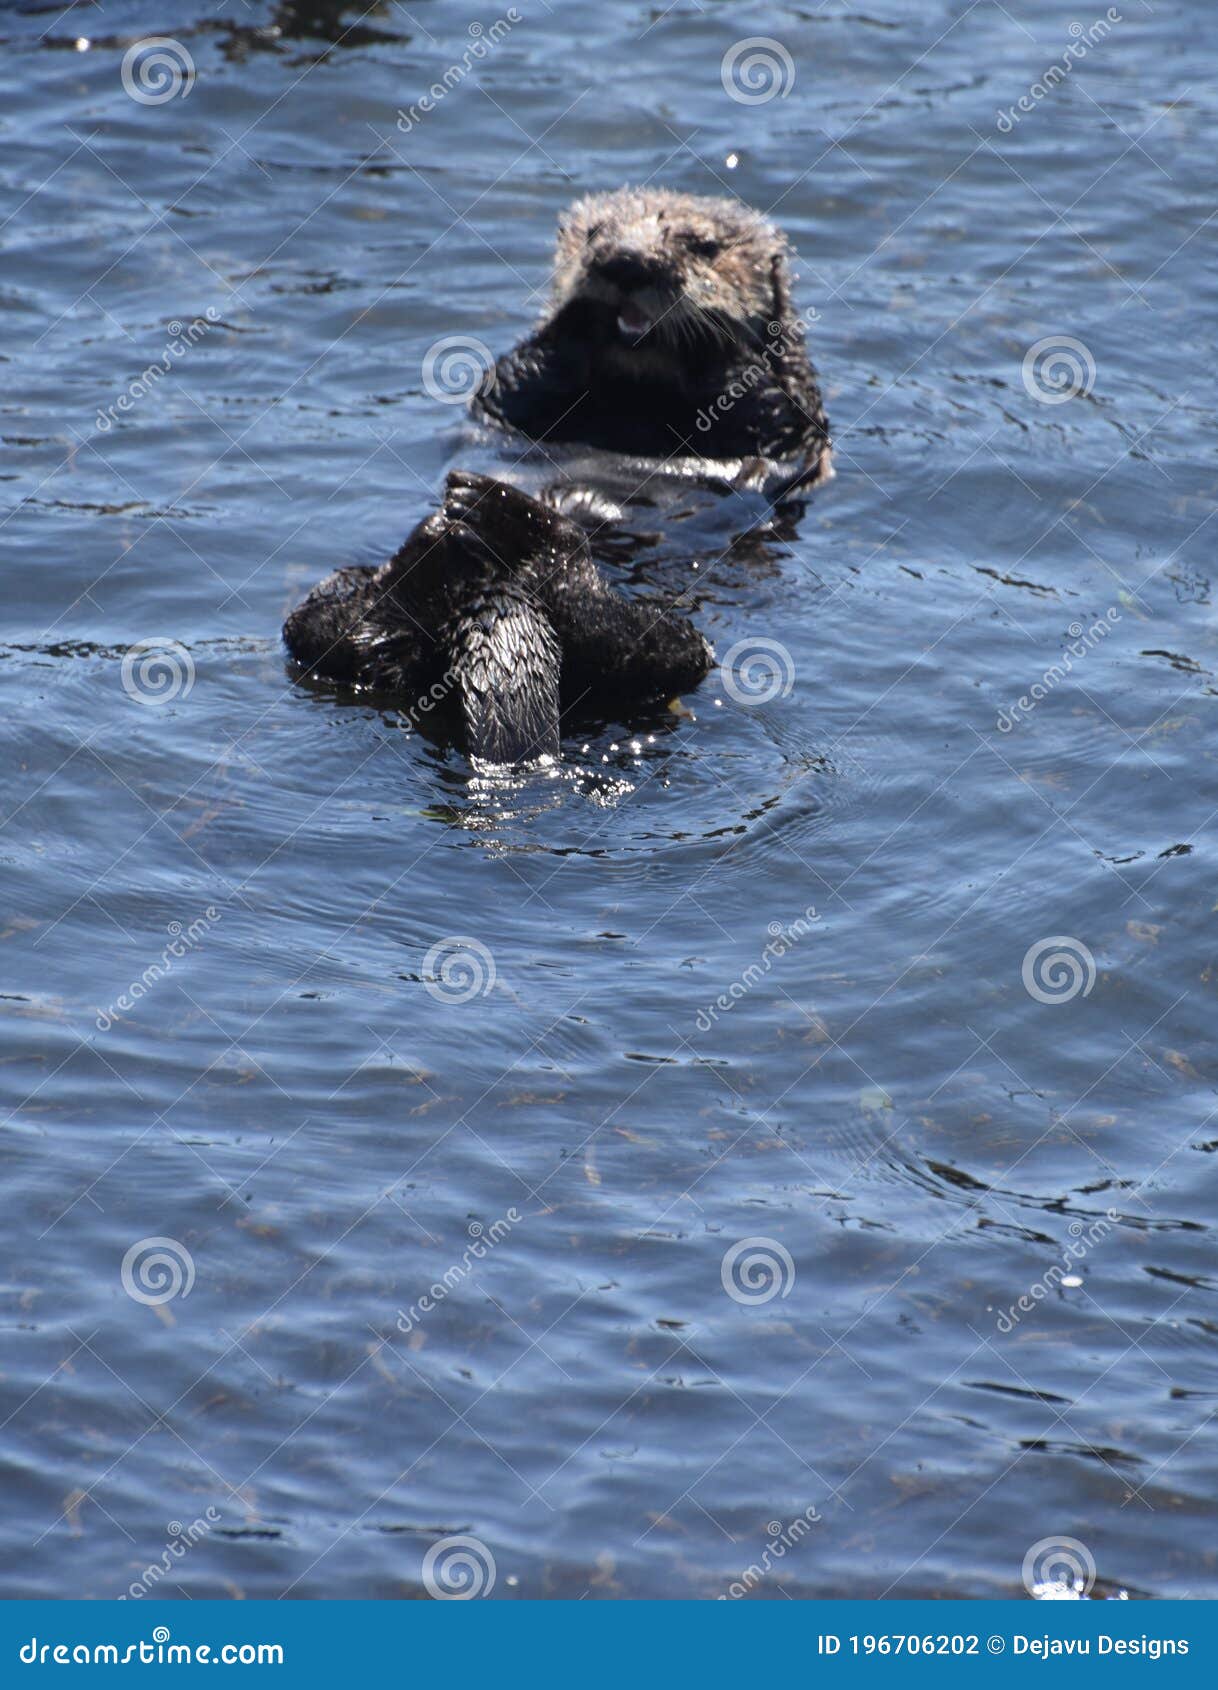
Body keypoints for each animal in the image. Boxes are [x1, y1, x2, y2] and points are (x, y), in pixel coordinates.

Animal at [472, 187, 831, 495]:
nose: (627, 261)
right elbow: (504, 388)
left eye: (705, 246)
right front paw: (582, 314)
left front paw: (707, 337)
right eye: (593, 232)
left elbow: (771, 418)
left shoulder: (793, 422)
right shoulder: (506, 409)